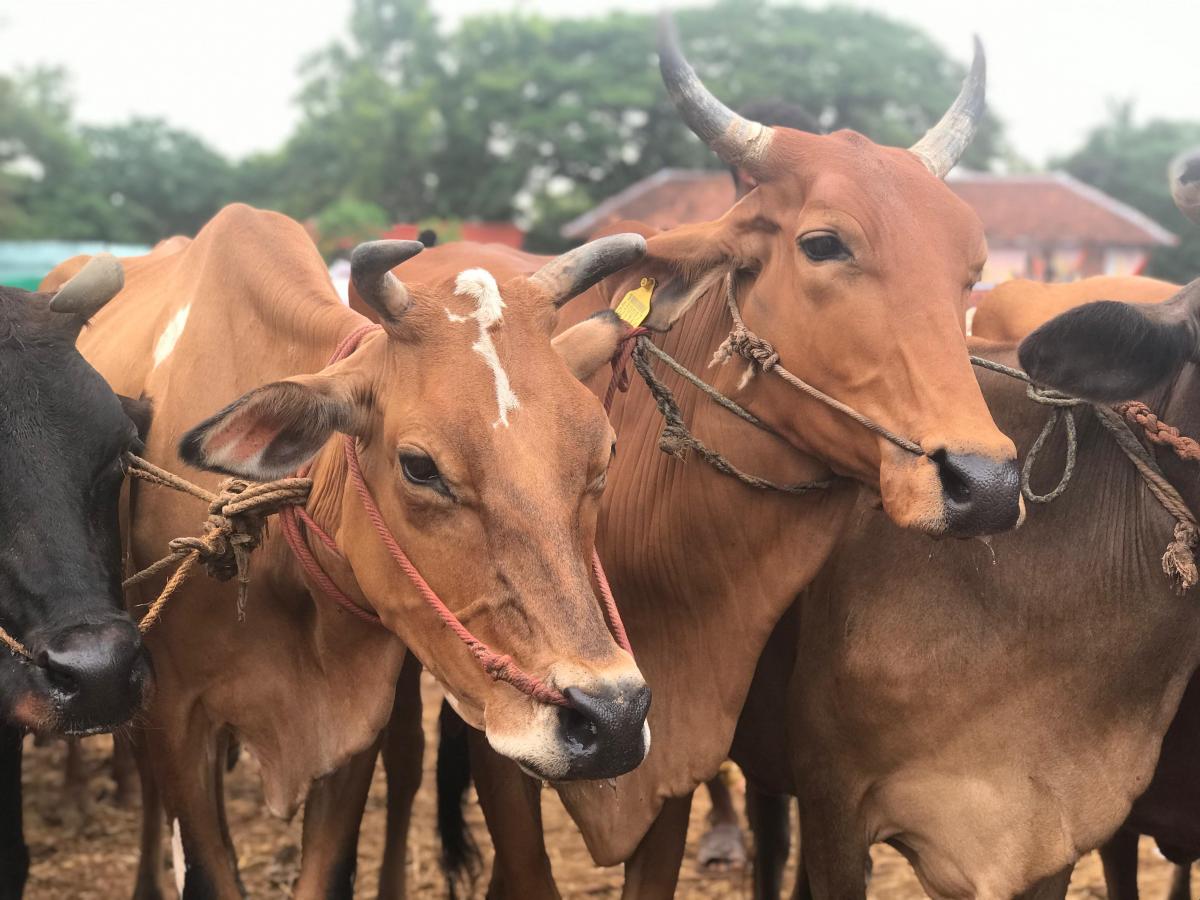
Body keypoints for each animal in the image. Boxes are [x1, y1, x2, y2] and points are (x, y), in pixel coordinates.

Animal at [358, 15, 1024, 899]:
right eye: (823, 243)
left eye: (971, 272)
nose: (985, 483)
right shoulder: (516, 719)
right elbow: (523, 860)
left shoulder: (666, 737)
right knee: (401, 760)